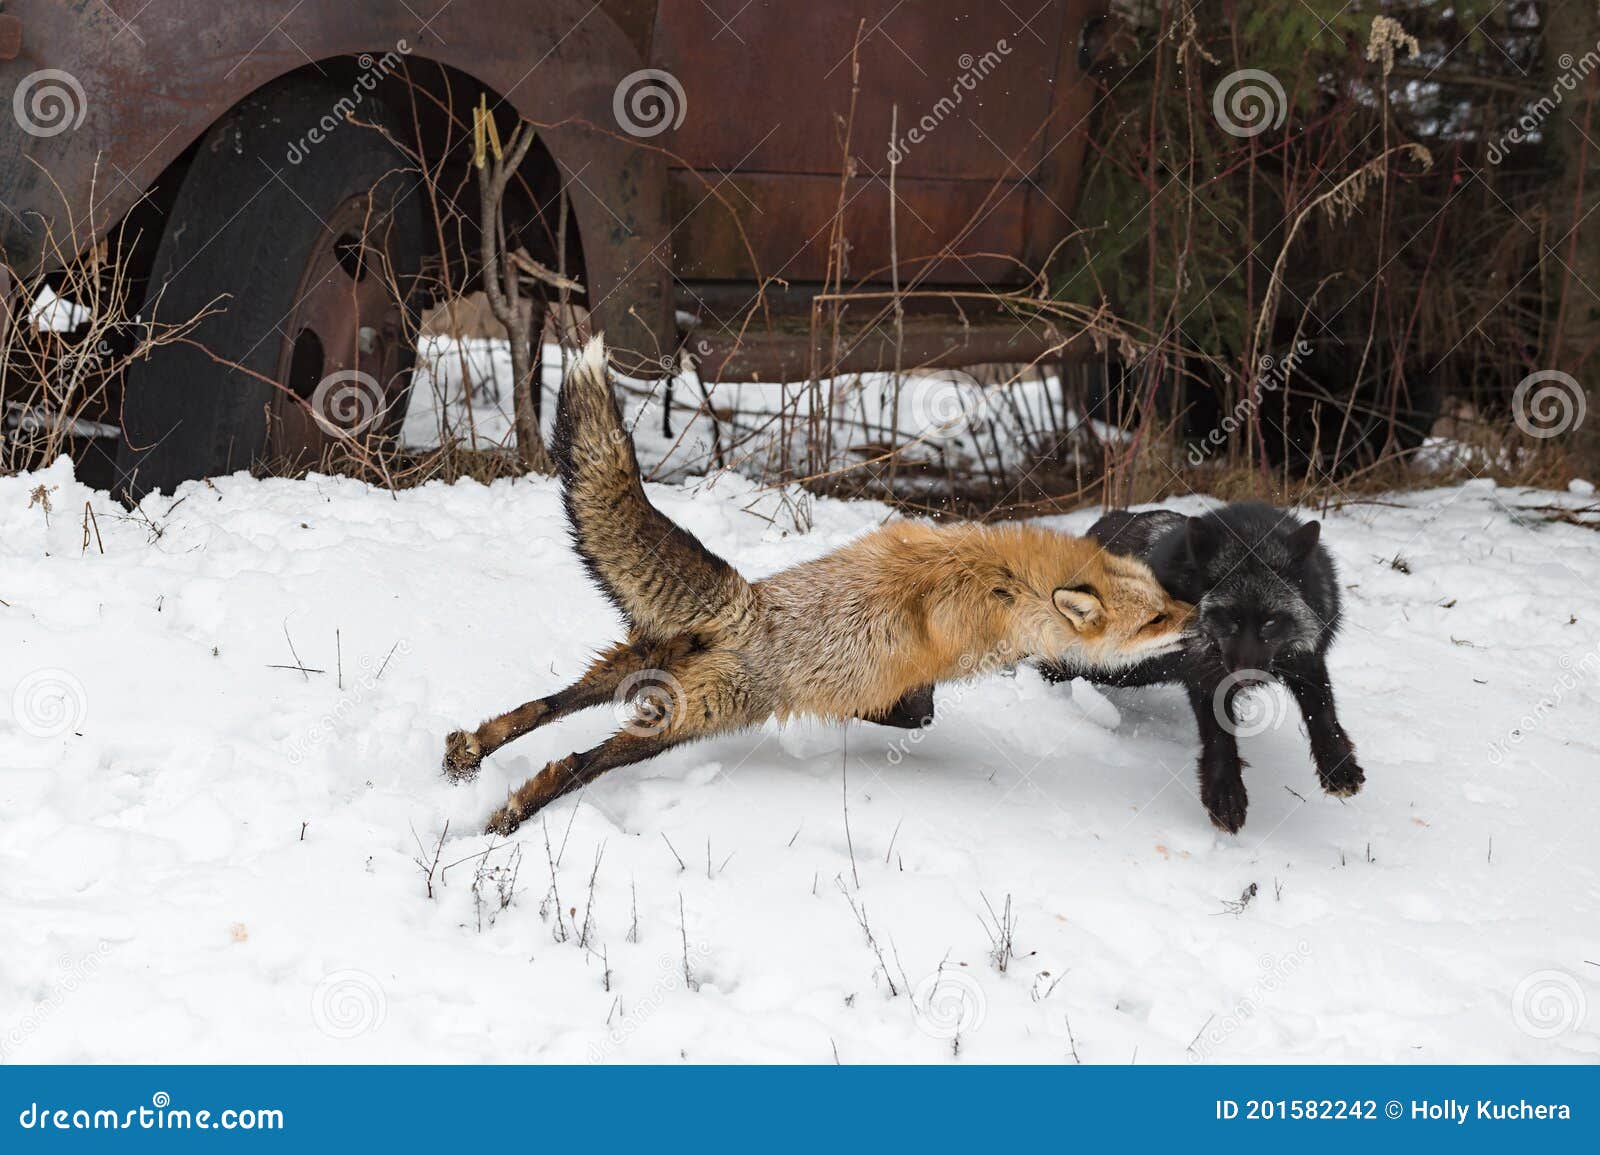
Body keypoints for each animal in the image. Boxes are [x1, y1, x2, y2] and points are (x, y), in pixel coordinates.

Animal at [442, 337, 1195, 835]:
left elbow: (908, 709)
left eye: (1166, 603)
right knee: (578, 760)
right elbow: (912, 708)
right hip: (688, 716)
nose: (1199, 614)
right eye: (1155, 621)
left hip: (635, 667)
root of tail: (747, 605)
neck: (1007, 588)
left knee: (545, 705)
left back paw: (471, 752)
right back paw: (509, 814)